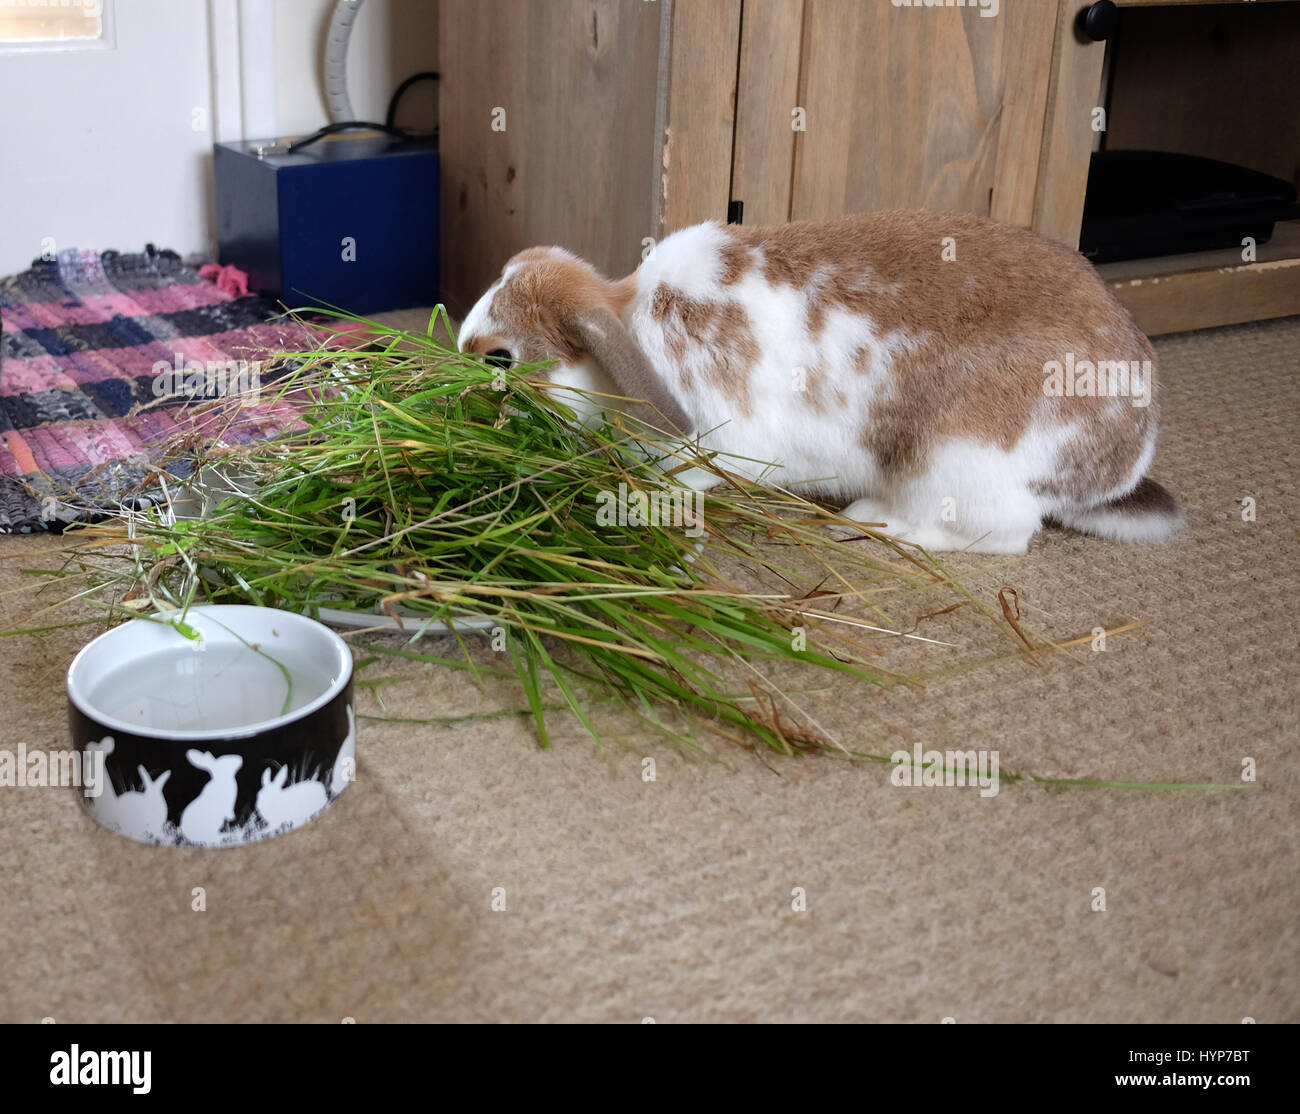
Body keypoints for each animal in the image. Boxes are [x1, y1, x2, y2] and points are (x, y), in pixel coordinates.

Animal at [457, 210, 1183, 555]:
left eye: (500, 358)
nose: (458, 399)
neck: (630, 326)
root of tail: (1126, 457)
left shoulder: (718, 446)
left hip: (958, 459)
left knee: (1005, 535)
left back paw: (875, 523)